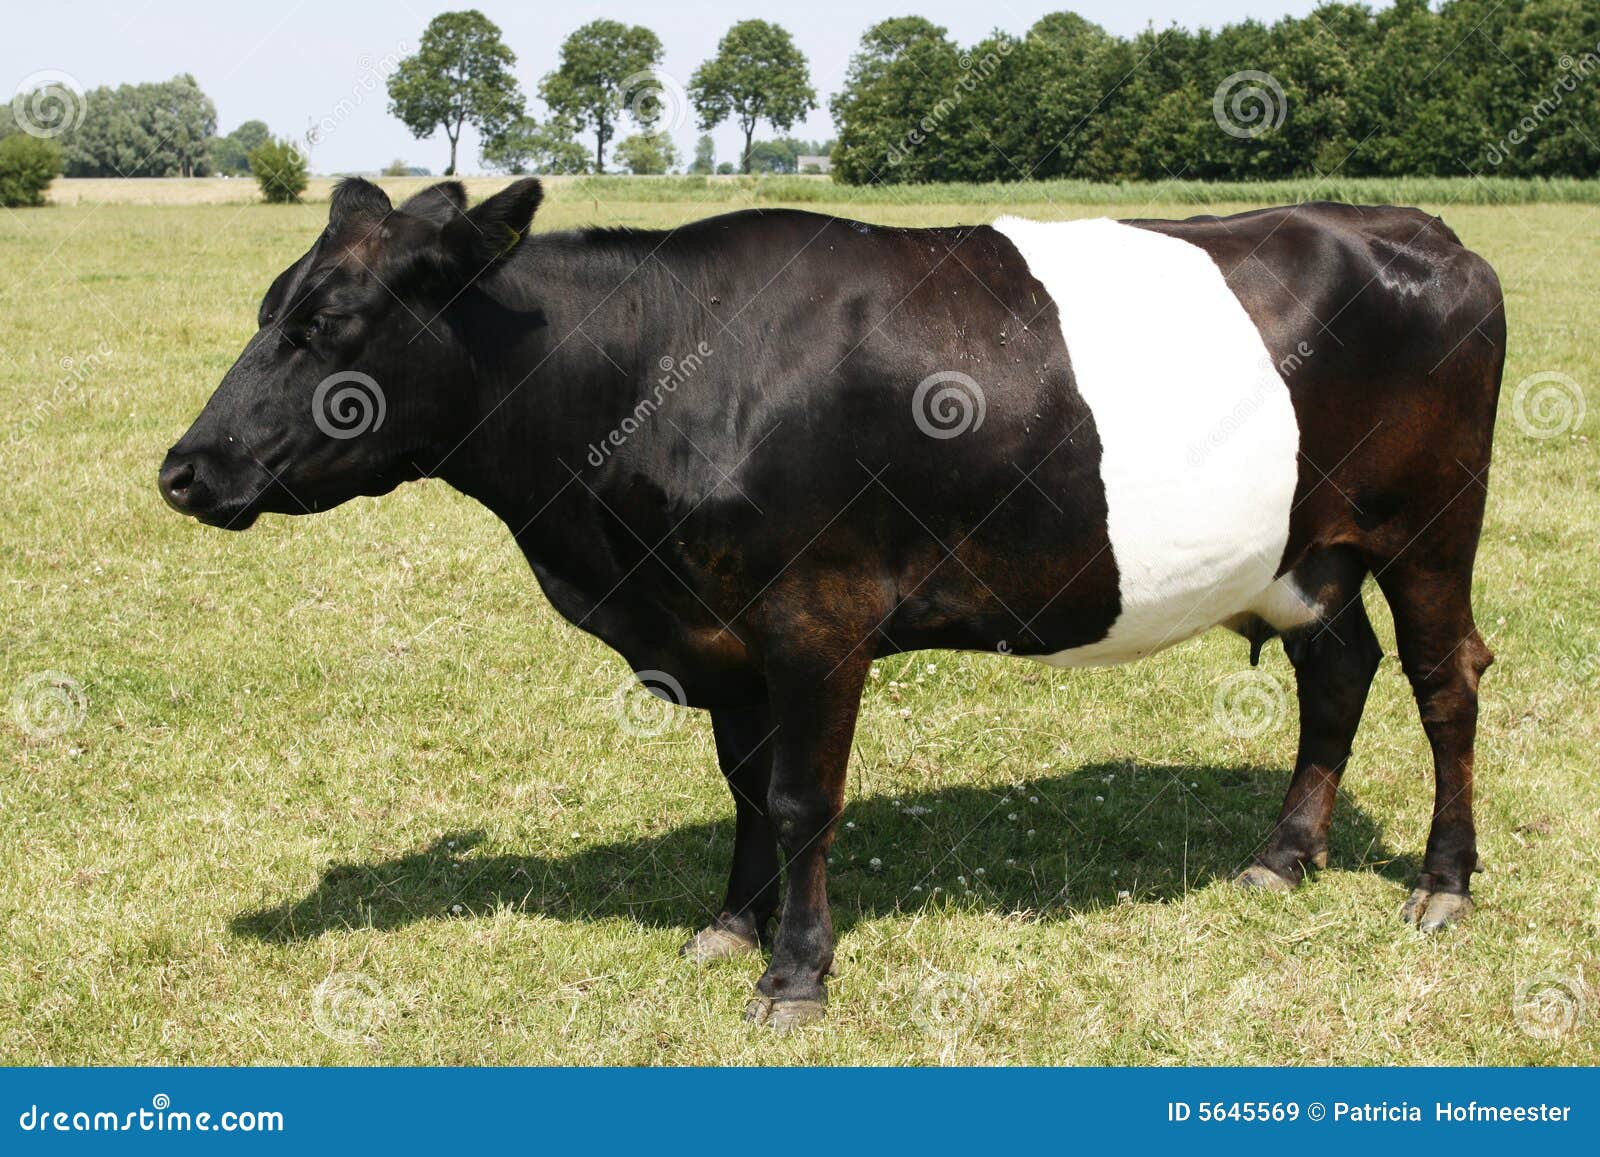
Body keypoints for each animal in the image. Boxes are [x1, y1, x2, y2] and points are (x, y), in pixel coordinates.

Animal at [160, 178, 1504, 1029]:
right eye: (268, 307)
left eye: (329, 322)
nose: (184, 467)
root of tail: (1416, 227)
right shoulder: (716, 630)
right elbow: (750, 787)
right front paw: (730, 925)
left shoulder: (816, 614)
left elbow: (807, 796)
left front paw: (795, 976)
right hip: (1307, 550)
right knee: (1338, 672)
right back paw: (1281, 857)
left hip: (1430, 524)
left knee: (1445, 679)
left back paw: (1442, 883)